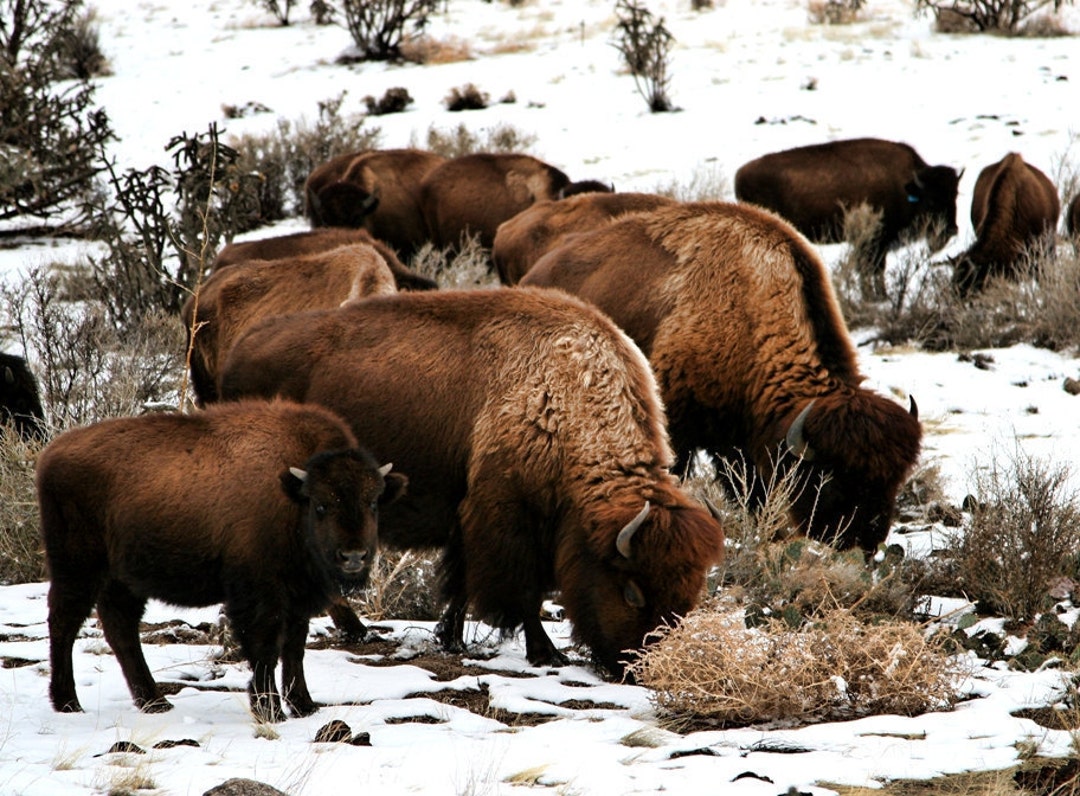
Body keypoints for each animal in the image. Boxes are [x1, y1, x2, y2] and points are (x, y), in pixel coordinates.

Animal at [37, 399, 407, 721]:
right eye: (321, 505)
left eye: (373, 502)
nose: (353, 556)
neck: (290, 495)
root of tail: (51, 454)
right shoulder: (260, 596)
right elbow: (266, 649)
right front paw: (270, 710)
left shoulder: (298, 597)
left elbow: (294, 649)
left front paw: (304, 706)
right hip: (78, 568)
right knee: (64, 622)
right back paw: (68, 702)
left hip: (123, 578)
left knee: (120, 628)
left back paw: (154, 702)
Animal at [219, 288, 725, 677]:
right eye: (632, 591)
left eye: (687, 600)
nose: (633, 669)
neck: (563, 395)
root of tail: (237, 353)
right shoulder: (504, 519)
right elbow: (520, 593)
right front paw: (546, 653)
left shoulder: (471, 520)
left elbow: (461, 585)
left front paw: (452, 639)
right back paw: (354, 630)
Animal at [521, 201, 922, 553]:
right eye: (834, 478)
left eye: (894, 480)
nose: (866, 540)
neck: (750, 310)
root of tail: (533, 275)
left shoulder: (734, 439)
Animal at [734, 137, 961, 300]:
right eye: (931, 201)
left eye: (955, 195)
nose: (951, 230)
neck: (905, 187)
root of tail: (740, 175)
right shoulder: (876, 241)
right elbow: (872, 268)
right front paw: (878, 297)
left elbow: (870, 269)